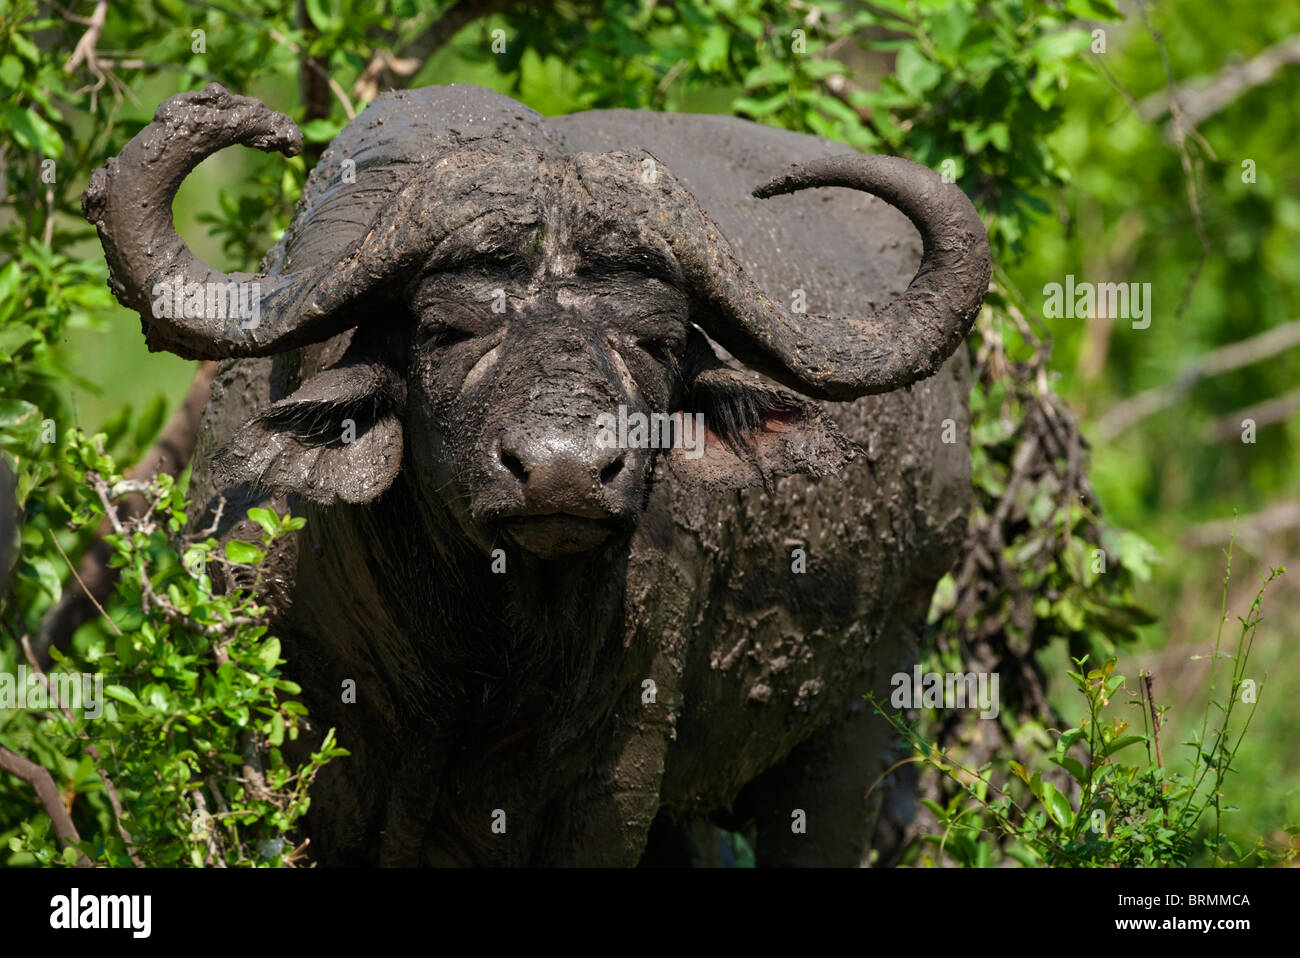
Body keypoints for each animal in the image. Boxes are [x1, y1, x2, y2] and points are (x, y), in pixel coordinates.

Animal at [83, 82, 990, 866]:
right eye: (444, 330)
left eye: (660, 340)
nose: (566, 473)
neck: (466, 658)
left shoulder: (618, 780)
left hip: (860, 710)